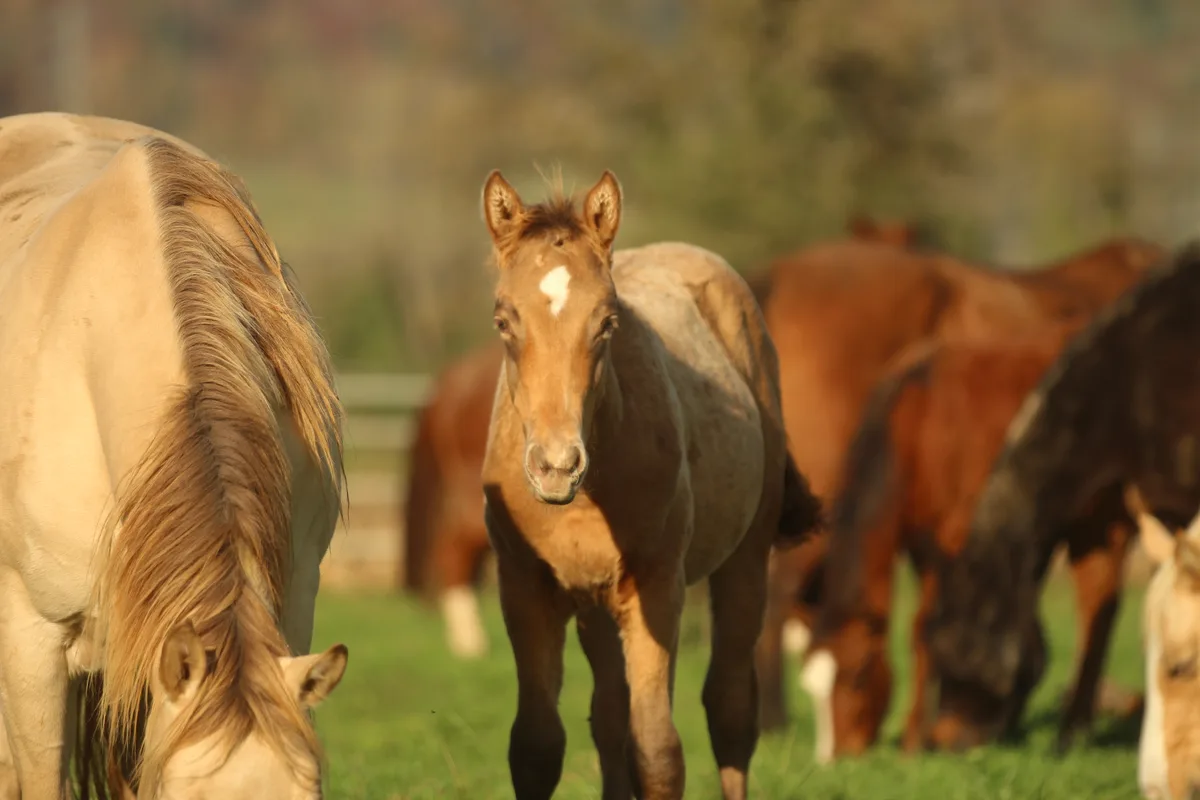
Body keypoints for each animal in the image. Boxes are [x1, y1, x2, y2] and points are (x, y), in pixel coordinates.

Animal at [477, 169, 821, 800]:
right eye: (503, 321)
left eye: (607, 322)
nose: (556, 465)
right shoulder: (525, 586)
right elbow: (537, 746)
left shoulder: (657, 587)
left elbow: (658, 752)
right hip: (595, 604)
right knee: (610, 716)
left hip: (744, 561)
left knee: (729, 710)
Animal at [756, 233, 1166, 732]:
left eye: (857, 679)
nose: (839, 751)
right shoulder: (933, 539)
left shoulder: (956, 535)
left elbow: (927, 626)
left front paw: (923, 733)